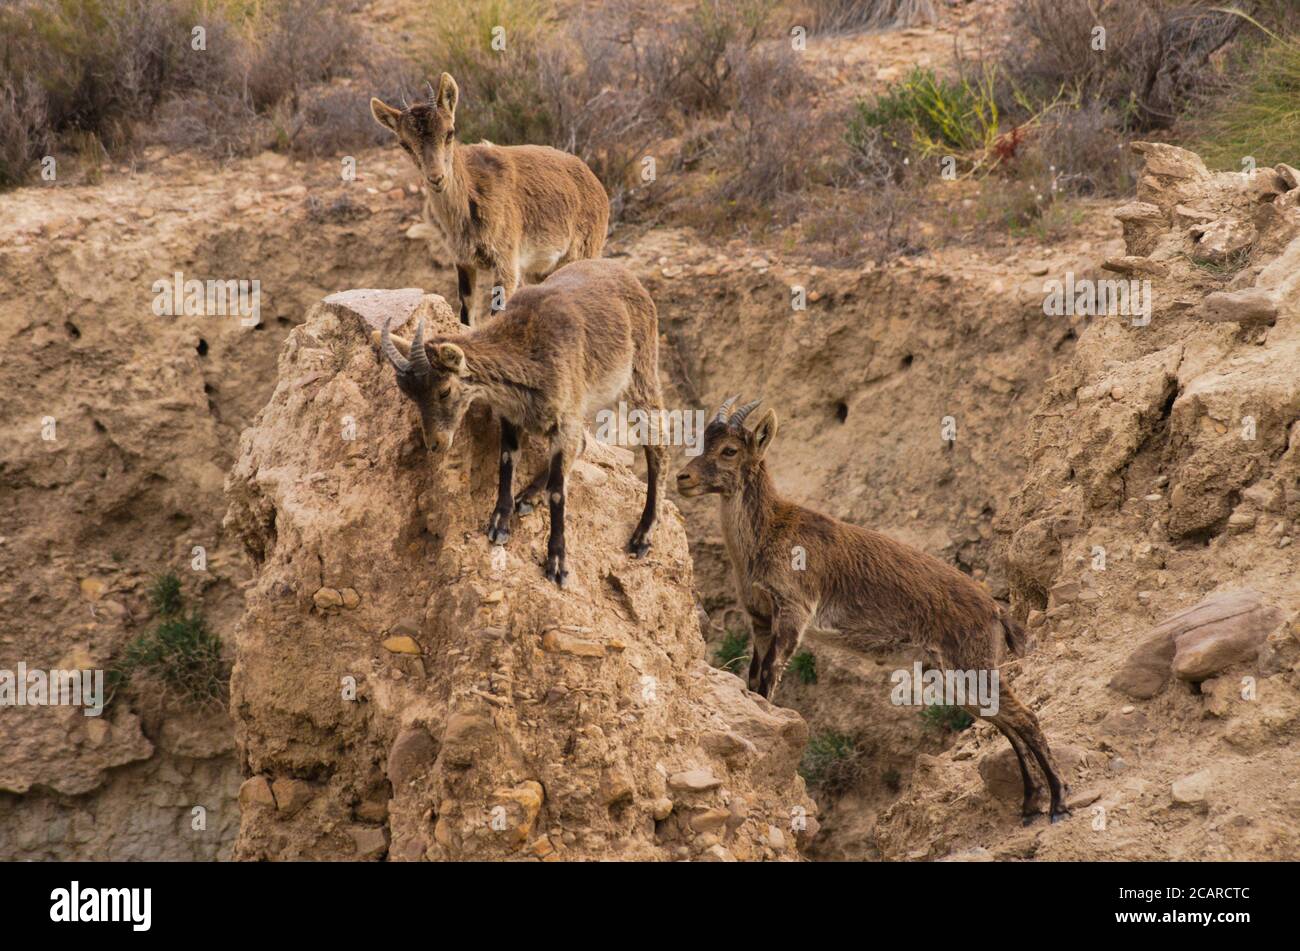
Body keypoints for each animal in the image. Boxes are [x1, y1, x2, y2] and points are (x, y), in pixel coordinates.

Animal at [371, 73, 610, 326]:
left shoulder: (506, 259)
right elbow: (466, 312)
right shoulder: (463, 261)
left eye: (450, 132)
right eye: (404, 144)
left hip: (585, 251)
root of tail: (596, 184)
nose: (436, 179)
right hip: (540, 269)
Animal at [377, 259, 666, 587]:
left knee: (657, 446)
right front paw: (499, 523)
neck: (527, 355)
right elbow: (507, 461)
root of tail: (630, 277)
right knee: (583, 444)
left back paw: (642, 535)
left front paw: (557, 564)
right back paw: (527, 496)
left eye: (444, 390)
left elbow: (558, 492)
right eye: (410, 395)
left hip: (640, 375)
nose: (435, 444)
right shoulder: (512, 416)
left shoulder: (565, 418)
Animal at [676, 397, 1071, 823]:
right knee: (1005, 722)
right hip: (956, 675)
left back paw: (1058, 804)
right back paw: (1030, 804)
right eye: (702, 442)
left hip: (973, 662)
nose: (683, 477)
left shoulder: (793, 612)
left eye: (730, 450)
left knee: (1025, 718)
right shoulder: (760, 618)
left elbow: (768, 680)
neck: (768, 533)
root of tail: (996, 612)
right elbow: (752, 680)